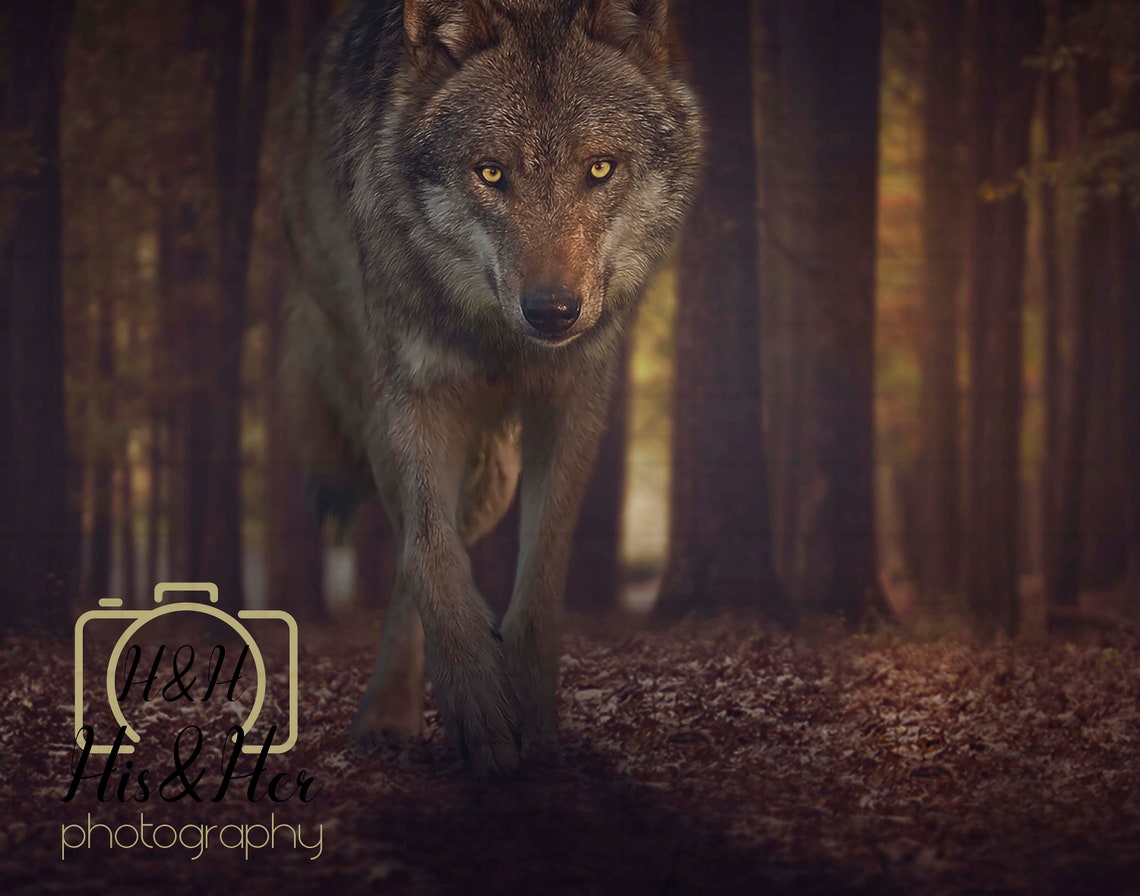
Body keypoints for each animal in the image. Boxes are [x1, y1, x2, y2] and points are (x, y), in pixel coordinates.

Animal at [281, 0, 702, 775]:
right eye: (491, 173)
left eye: (601, 168)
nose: (553, 310)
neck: (502, 342)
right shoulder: (410, 397)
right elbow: (431, 554)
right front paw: (478, 707)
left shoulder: (576, 399)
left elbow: (542, 569)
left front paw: (530, 713)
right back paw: (388, 711)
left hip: (492, 473)